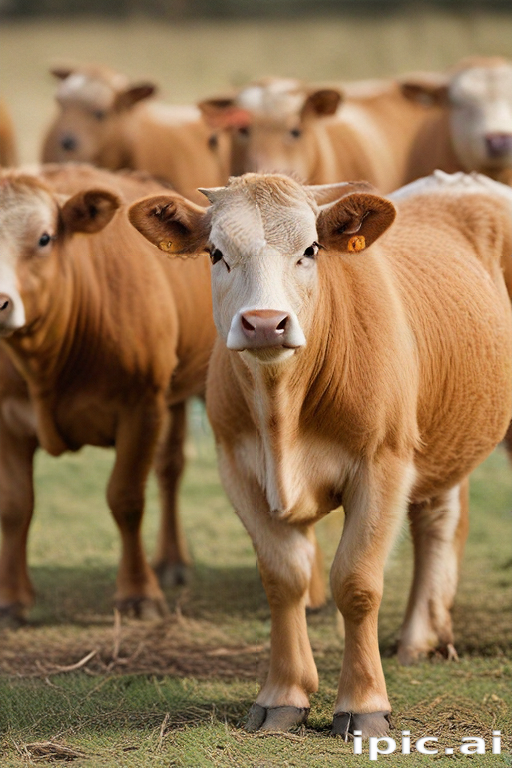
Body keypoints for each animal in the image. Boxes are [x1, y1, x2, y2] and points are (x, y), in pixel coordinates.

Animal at [0, 164, 216, 623]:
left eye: (44, 238)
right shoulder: (6, 418)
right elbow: (15, 506)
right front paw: (12, 598)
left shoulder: (141, 407)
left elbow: (126, 499)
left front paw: (138, 594)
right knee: (170, 469)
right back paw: (172, 560)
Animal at [128, 170, 512, 738]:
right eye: (216, 253)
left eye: (310, 249)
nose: (266, 322)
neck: (282, 413)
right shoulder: (238, 470)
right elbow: (283, 577)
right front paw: (283, 695)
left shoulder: (382, 466)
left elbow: (356, 582)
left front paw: (364, 704)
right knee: (438, 521)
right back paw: (420, 634)